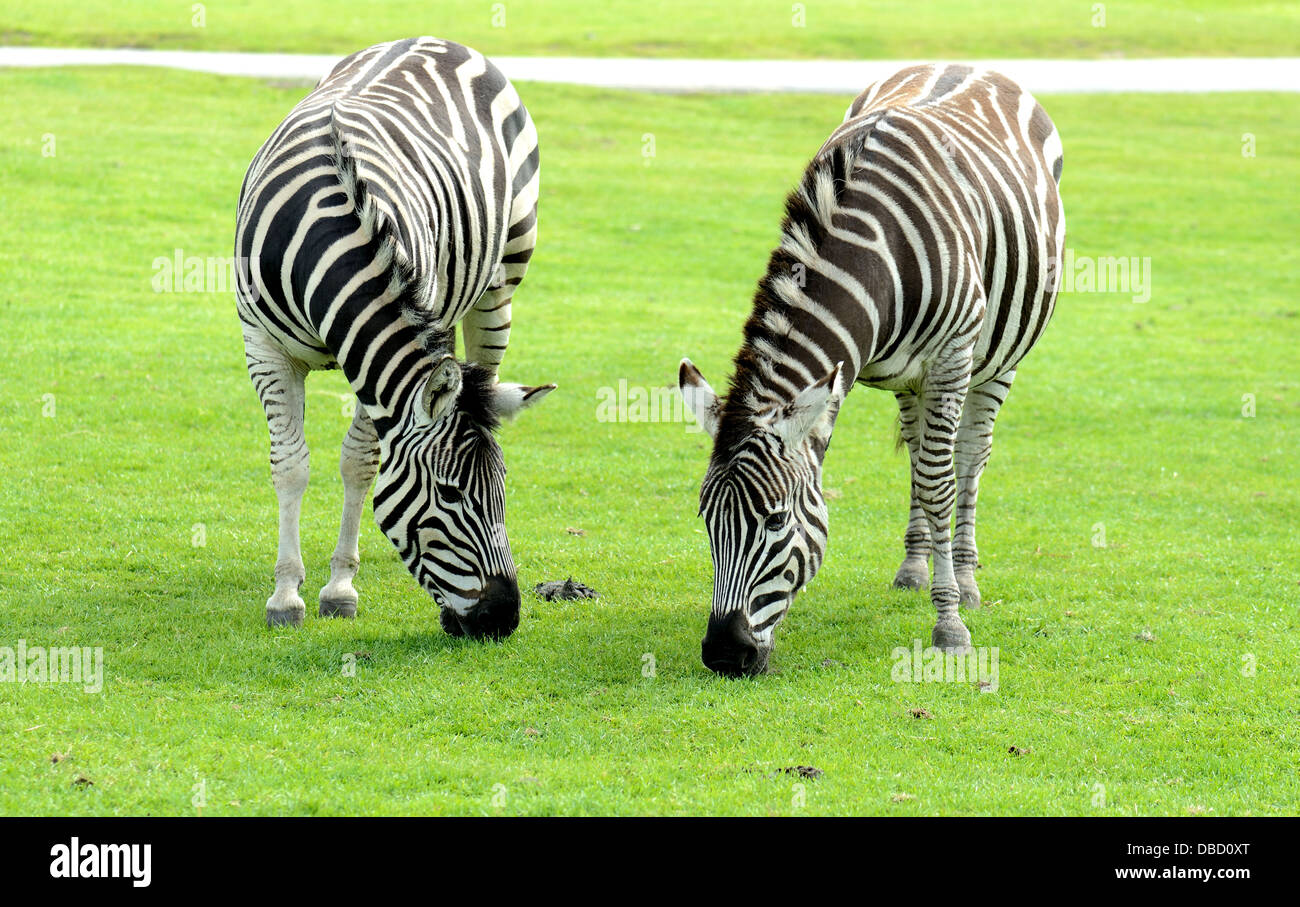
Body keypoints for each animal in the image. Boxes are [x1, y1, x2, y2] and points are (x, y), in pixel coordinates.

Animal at [235, 38, 553, 637]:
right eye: (450, 494)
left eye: (503, 492)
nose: (503, 618)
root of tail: (440, 40)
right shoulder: (264, 347)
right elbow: (290, 465)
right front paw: (286, 593)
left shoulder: (375, 369)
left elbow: (360, 463)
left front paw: (339, 586)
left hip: (501, 282)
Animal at [678, 64, 1065, 676]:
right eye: (707, 521)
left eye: (776, 521)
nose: (723, 654)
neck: (874, 249)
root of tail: (970, 65)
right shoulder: (859, 368)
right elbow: (918, 470)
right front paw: (924, 578)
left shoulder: (952, 356)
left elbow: (939, 485)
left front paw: (950, 624)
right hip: (907, 375)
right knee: (920, 450)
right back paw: (914, 567)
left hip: (998, 359)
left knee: (968, 458)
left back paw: (965, 576)